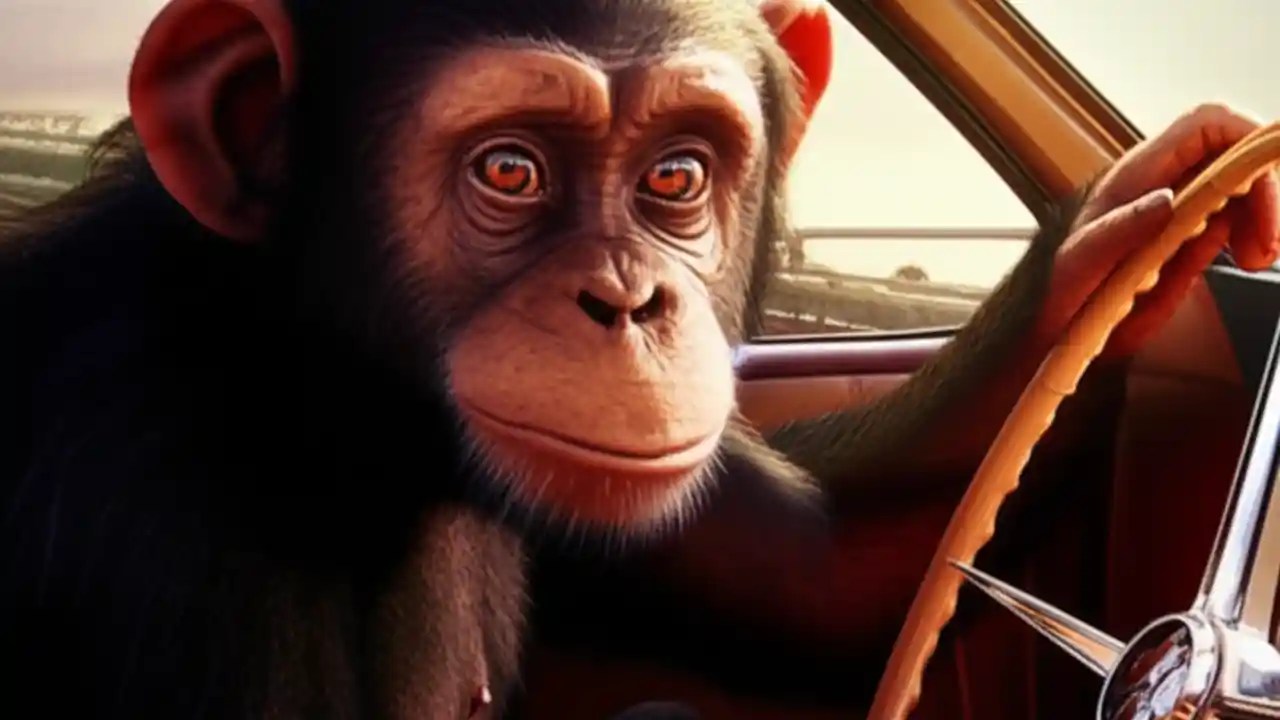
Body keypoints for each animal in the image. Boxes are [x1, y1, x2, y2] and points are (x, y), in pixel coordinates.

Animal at [2, 0, 1276, 719]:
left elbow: (834, 570)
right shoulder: (159, 521)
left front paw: (1127, 216)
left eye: (674, 174)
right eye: (508, 170)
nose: (623, 301)